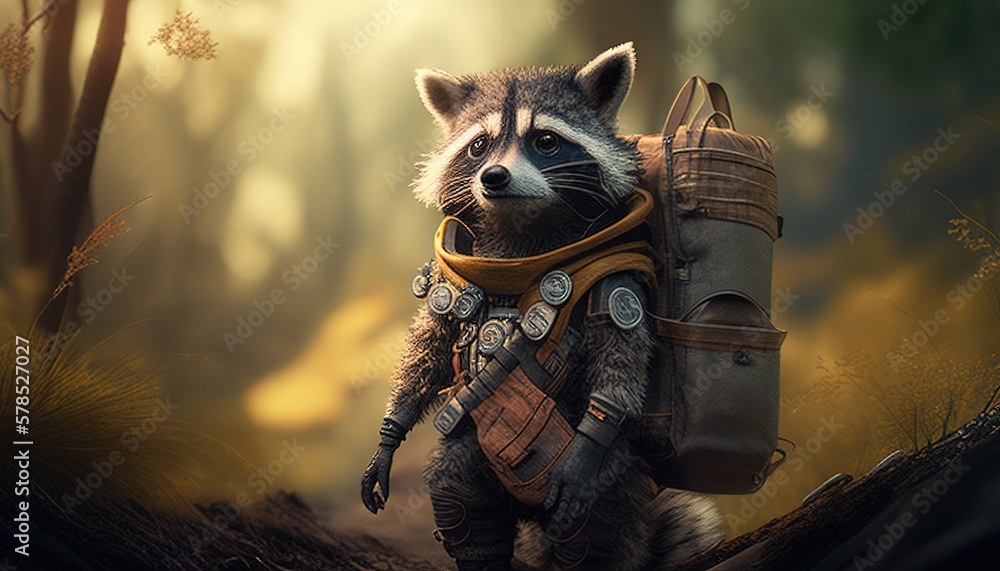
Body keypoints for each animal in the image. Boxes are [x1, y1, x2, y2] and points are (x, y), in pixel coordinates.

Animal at [362, 43, 723, 571]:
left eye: (546, 141)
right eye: (479, 146)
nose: (494, 177)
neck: (522, 228)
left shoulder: (615, 273)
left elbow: (619, 351)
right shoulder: (455, 278)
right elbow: (430, 343)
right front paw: (390, 435)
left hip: (608, 469)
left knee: (593, 533)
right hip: (476, 439)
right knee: (461, 495)